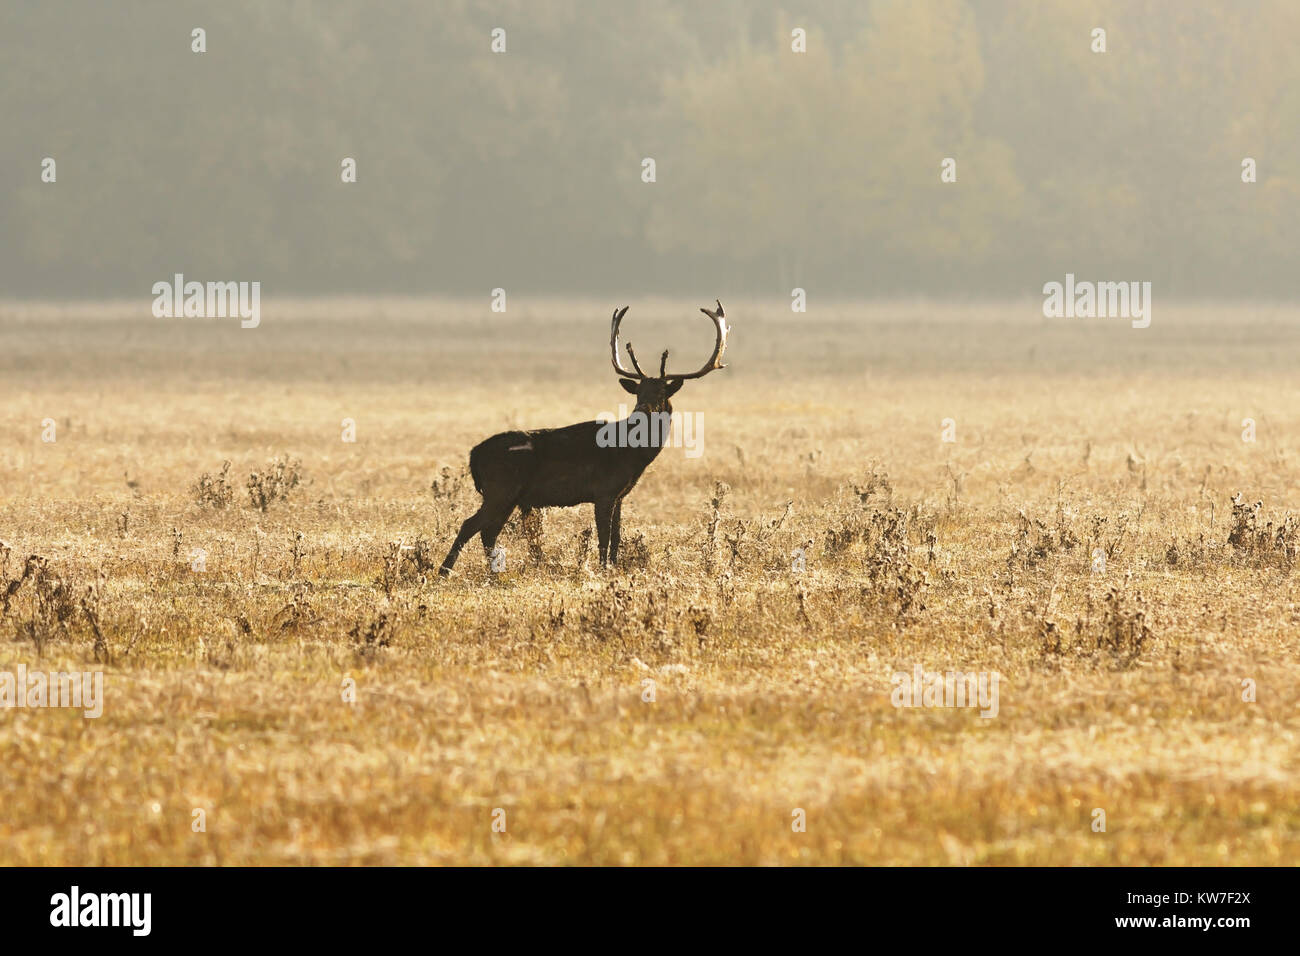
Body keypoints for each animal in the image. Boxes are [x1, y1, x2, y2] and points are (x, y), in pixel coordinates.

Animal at [438, 300, 729, 576]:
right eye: (638, 393)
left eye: (661, 393)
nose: (642, 410)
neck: (632, 455)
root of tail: (474, 454)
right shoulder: (603, 490)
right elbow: (603, 537)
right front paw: (602, 569)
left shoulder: (620, 494)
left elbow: (616, 537)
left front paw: (612, 567)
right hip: (500, 488)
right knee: (471, 525)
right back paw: (445, 570)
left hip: (509, 496)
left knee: (489, 531)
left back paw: (494, 572)